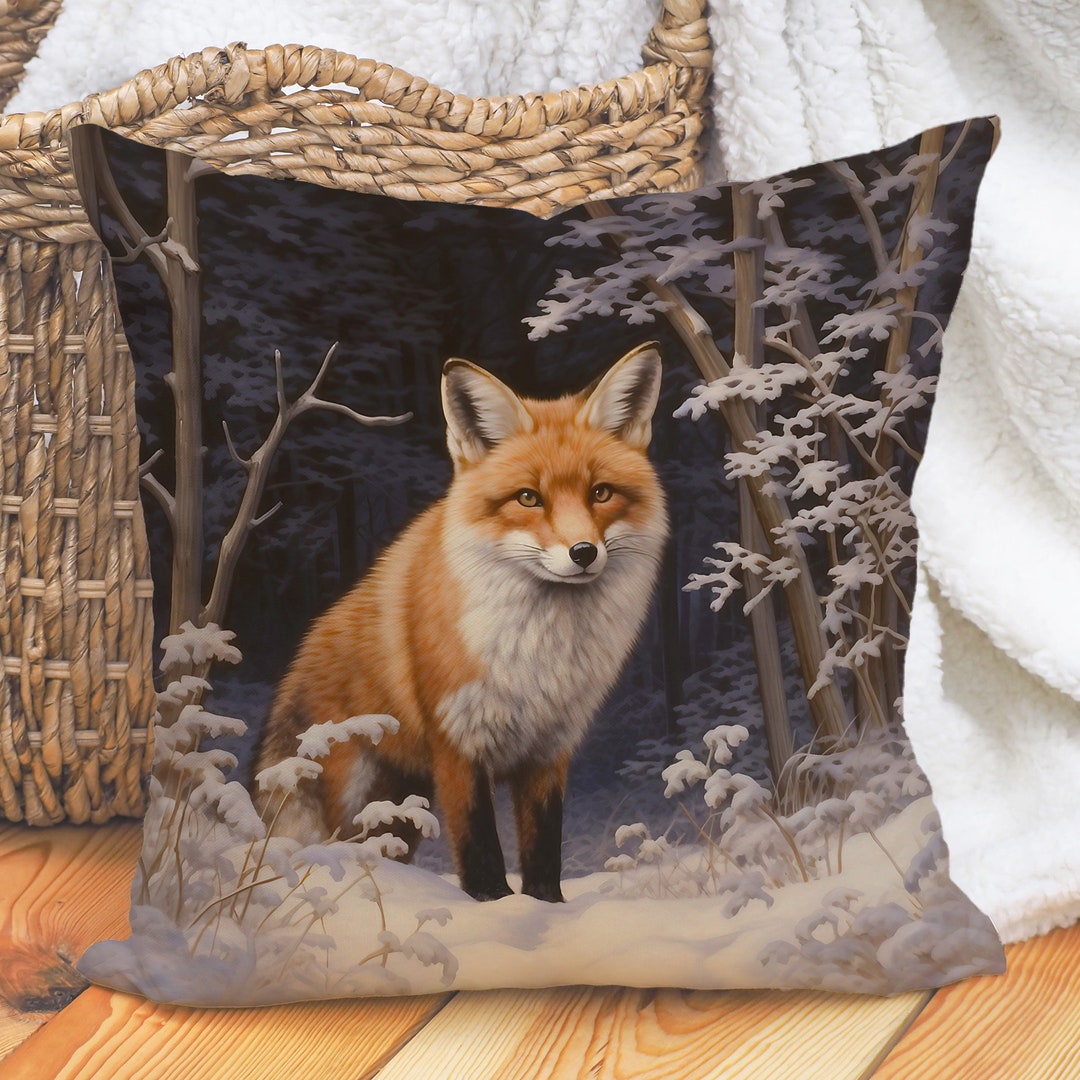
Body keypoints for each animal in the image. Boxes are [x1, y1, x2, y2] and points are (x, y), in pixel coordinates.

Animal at [254, 342, 669, 902]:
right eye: (527, 498)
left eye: (601, 493)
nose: (583, 553)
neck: (539, 654)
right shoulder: (458, 743)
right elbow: (479, 849)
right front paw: (493, 905)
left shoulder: (549, 750)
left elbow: (544, 849)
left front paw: (546, 906)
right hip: (354, 793)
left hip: (400, 808)